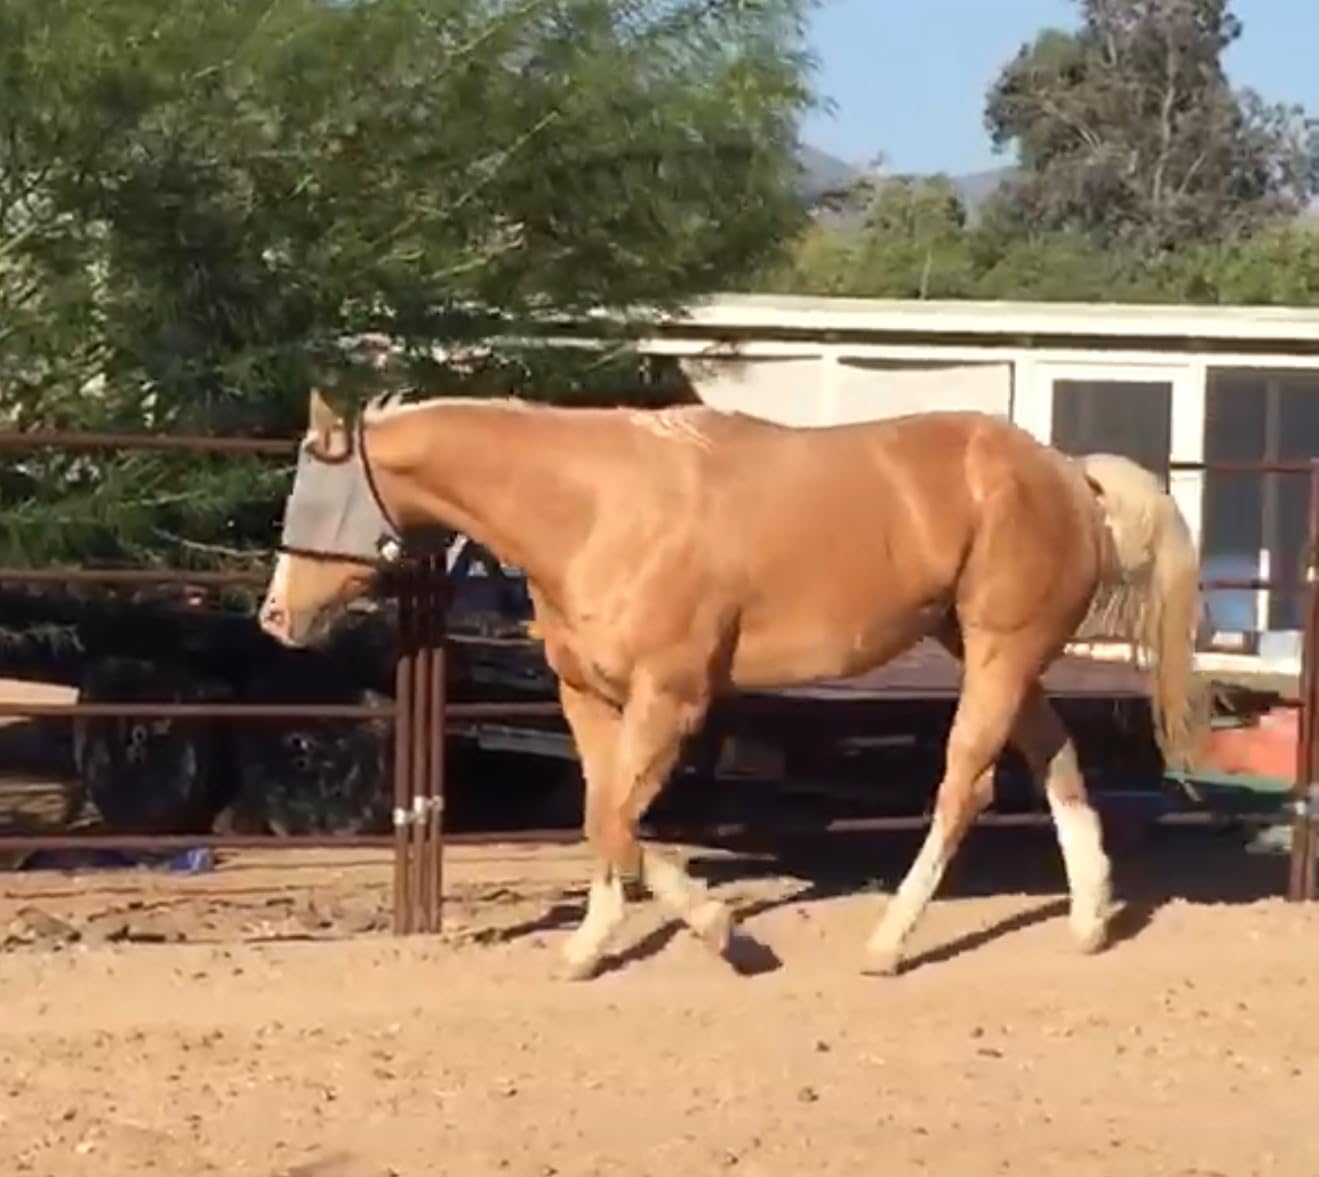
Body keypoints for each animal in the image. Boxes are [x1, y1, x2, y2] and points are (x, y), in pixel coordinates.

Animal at [258, 388, 1204, 980]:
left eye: (312, 496)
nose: (274, 616)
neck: (592, 511)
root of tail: (1067, 473)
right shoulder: (585, 697)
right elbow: (603, 813)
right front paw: (588, 949)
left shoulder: (670, 698)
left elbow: (616, 819)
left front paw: (726, 934)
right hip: (997, 653)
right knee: (1058, 765)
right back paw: (1089, 921)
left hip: (999, 653)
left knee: (962, 789)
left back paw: (889, 943)